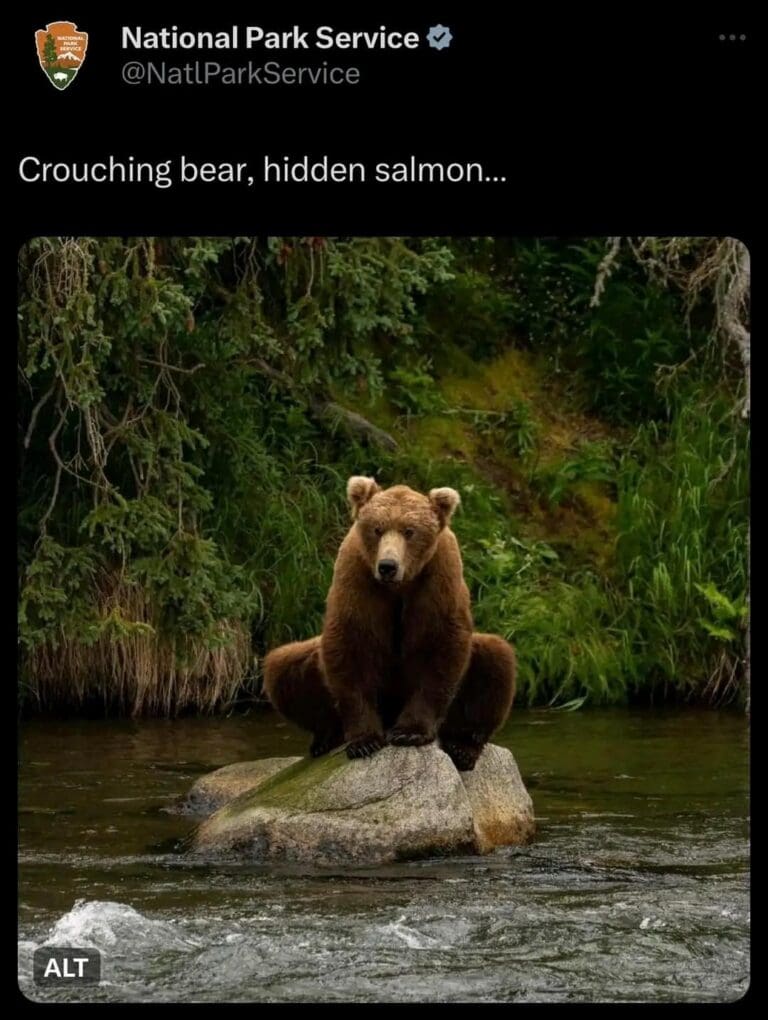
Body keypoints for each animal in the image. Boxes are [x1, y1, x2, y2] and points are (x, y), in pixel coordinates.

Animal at [263, 476, 516, 771]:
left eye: (409, 531)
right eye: (377, 528)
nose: (387, 566)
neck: (399, 585)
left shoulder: (438, 579)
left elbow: (441, 648)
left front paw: (410, 732)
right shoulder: (358, 578)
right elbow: (350, 646)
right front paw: (364, 741)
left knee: (496, 659)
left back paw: (463, 747)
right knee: (284, 665)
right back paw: (326, 737)